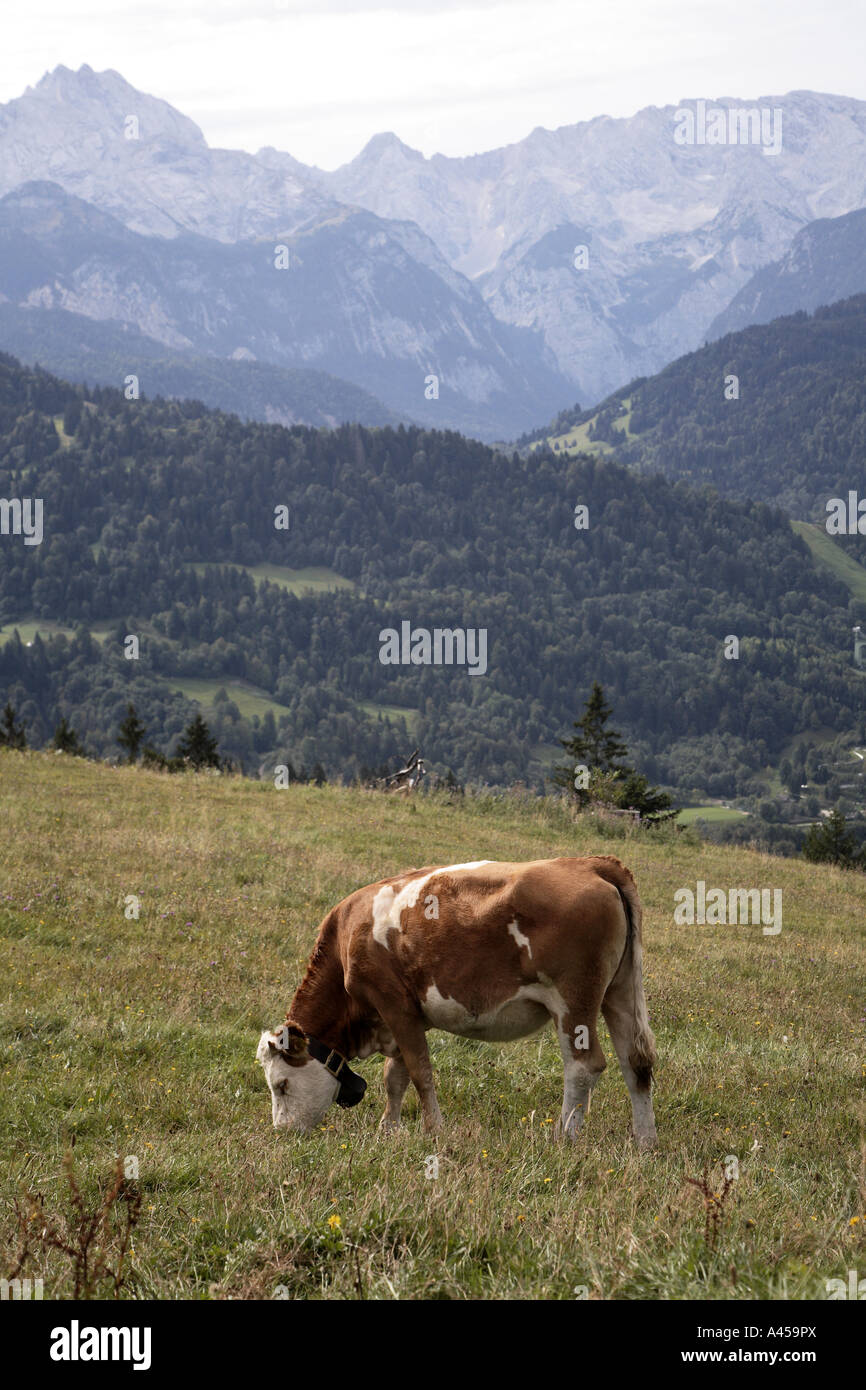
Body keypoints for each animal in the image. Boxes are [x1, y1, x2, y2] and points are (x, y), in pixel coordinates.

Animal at [256, 855, 658, 1148]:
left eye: (281, 1085)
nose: (282, 1132)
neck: (348, 935)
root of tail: (588, 862)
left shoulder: (393, 1004)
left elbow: (420, 1073)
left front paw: (432, 1130)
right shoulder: (403, 1016)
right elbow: (395, 1076)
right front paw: (389, 1129)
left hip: (573, 1001)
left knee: (584, 1066)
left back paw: (564, 1136)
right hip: (619, 993)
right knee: (635, 1062)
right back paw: (644, 1142)